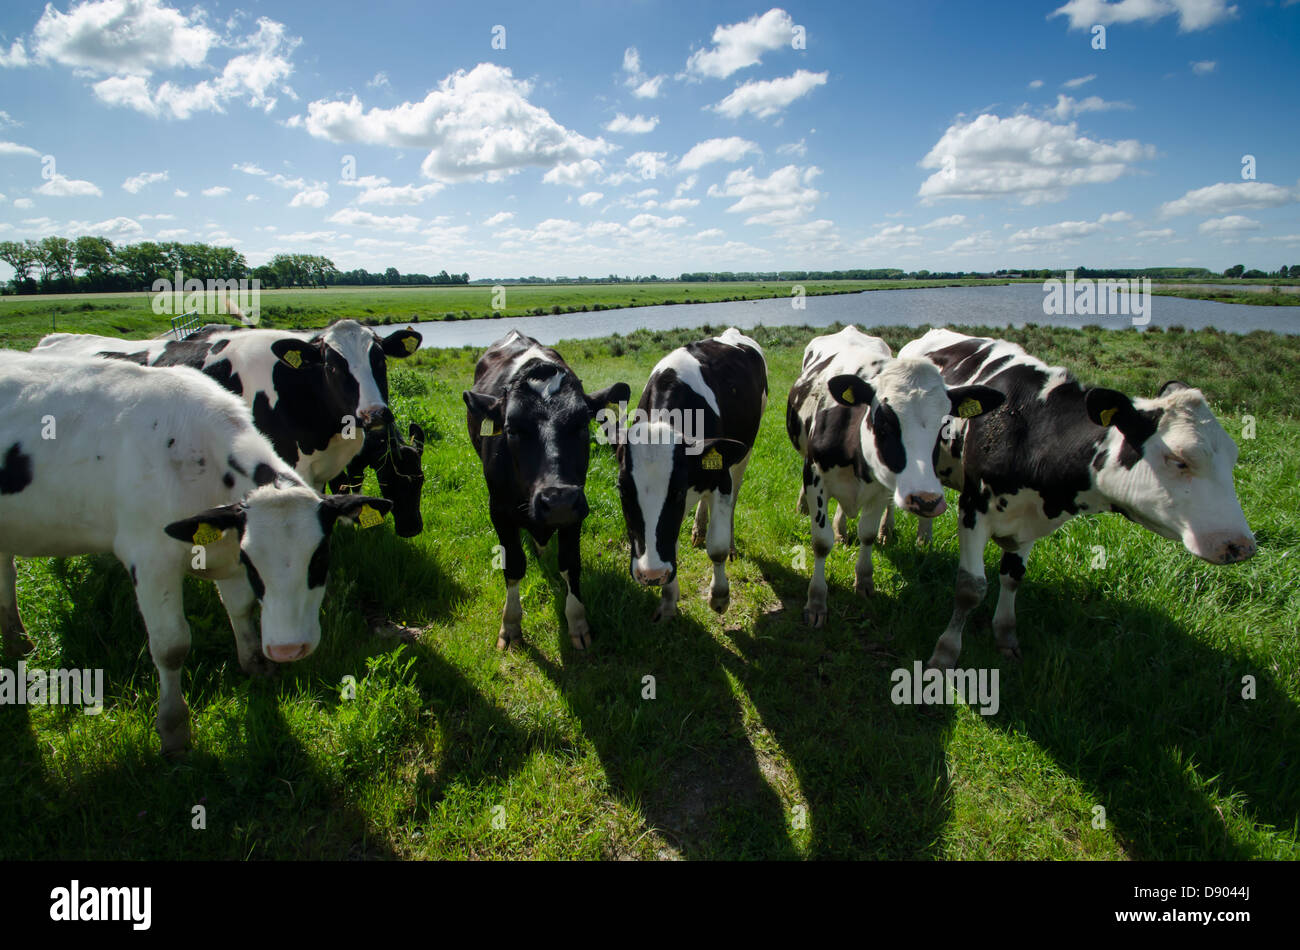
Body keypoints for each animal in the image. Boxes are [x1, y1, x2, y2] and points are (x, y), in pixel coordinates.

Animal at [0, 351, 392, 754]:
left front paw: (255, 665)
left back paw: (16, 639)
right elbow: (171, 646)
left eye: (320, 557)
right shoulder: (151, 561)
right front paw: (174, 728)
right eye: (254, 563)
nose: (288, 650)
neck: (194, 458)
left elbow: (241, 609)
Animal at [463, 330, 630, 650]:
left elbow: (570, 564)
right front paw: (510, 625)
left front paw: (577, 622)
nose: (557, 500)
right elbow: (514, 565)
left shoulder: (576, 507)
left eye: (581, 424)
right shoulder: (498, 510)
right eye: (512, 429)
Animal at [616, 328, 767, 622]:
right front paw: (667, 603)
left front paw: (719, 597)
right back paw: (698, 528)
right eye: (623, 491)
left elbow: (717, 548)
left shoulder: (720, 475)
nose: (651, 574)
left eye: (676, 490)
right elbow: (671, 542)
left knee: (734, 496)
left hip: (744, 452)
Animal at [786, 326, 1004, 627]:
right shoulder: (816, 476)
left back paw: (873, 530)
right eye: (885, 421)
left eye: (945, 425)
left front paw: (864, 580)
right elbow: (821, 542)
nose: (926, 500)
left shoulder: (879, 489)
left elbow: (866, 534)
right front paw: (817, 601)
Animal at [897, 328, 1257, 669]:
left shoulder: (1028, 518)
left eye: (1233, 458)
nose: (1241, 546)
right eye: (1179, 460)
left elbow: (1012, 577)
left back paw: (924, 539)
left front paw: (1006, 636)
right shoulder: (974, 508)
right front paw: (945, 654)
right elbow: (970, 589)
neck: (1030, 428)